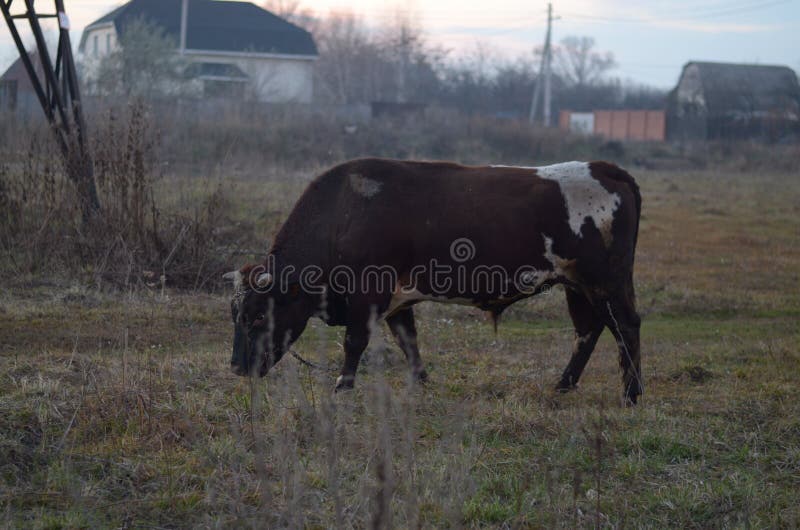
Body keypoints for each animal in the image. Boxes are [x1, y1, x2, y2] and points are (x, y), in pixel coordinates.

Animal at [224, 158, 643, 404]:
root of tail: (604, 168)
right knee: (588, 331)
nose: (238, 369)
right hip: (578, 285)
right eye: (236, 316)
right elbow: (408, 340)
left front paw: (343, 384)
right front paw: (421, 380)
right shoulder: (397, 299)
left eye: (258, 316)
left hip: (605, 281)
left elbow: (355, 341)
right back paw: (564, 385)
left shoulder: (368, 292)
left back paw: (632, 393)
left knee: (625, 325)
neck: (344, 212)